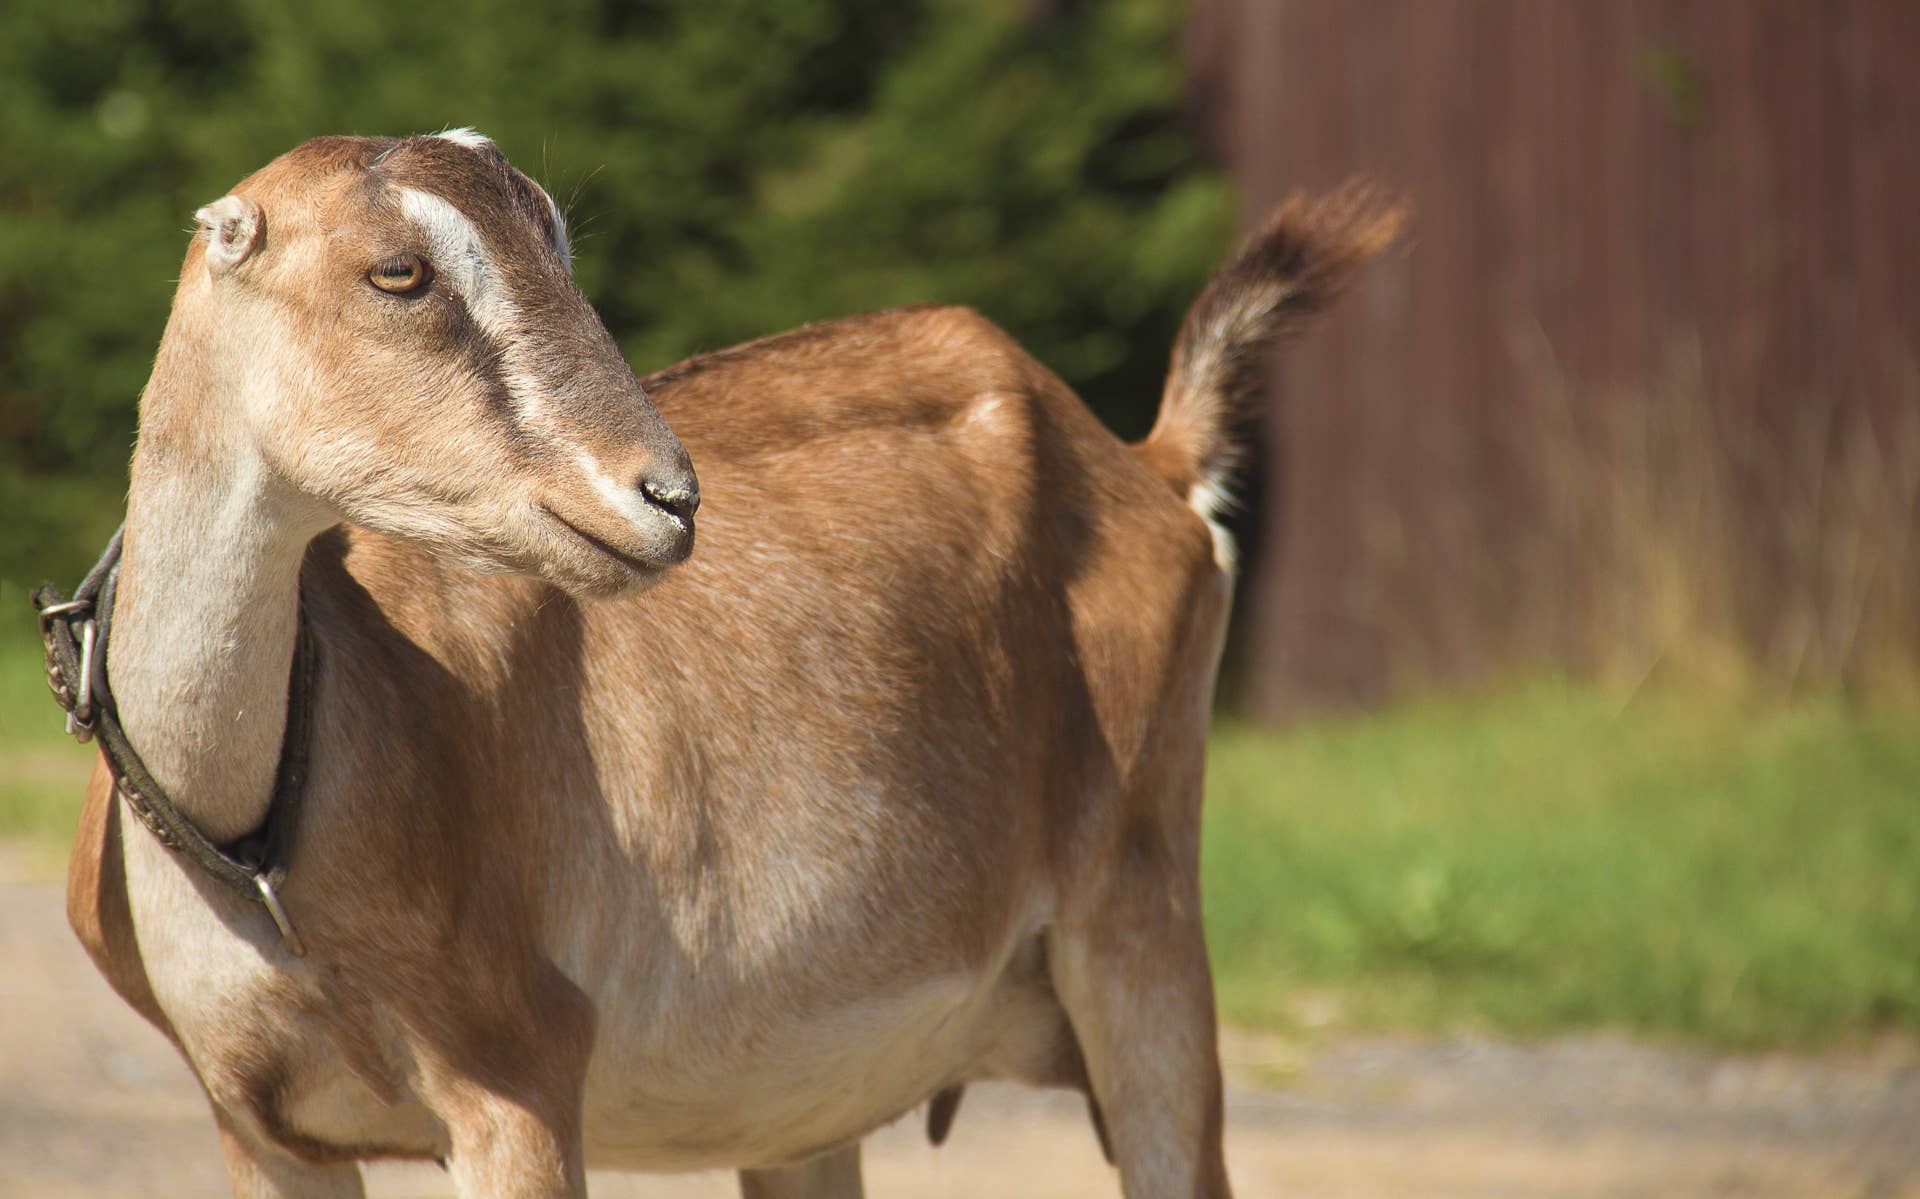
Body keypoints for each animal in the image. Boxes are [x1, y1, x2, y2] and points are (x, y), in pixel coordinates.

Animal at [57, 131, 1398, 1198]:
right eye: (398, 271)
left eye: (560, 245)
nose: (664, 495)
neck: (260, 806)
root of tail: (1150, 462)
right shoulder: (261, 1126)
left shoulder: (517, 1074)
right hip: (812, 1100)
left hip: (1143, 935)